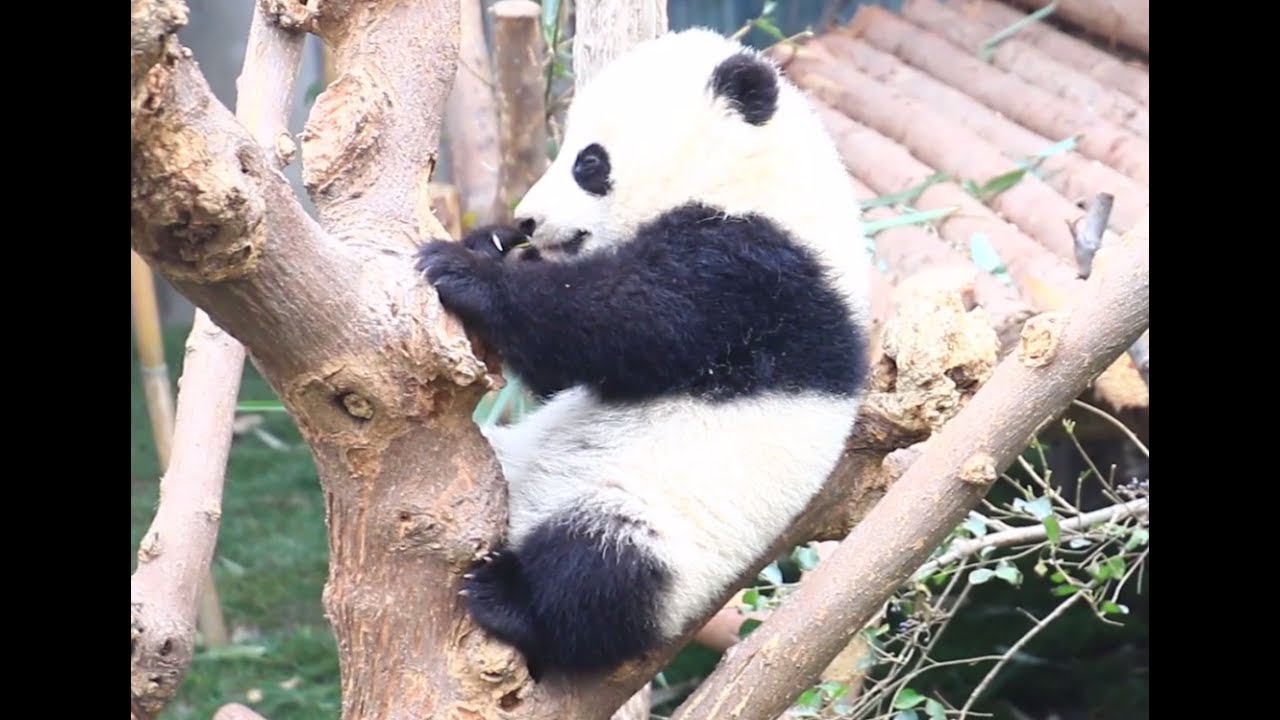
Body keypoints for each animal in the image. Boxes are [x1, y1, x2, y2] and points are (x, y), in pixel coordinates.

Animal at [416, 27, 872, 678]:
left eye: (589, 162)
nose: (528, 219)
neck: (756, 174)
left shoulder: (756, 269)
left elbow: (629, 321)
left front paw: (464, 271)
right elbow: (561, 379)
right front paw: (491, 242)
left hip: (666, 525)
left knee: (604, 567)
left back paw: (511, 602)